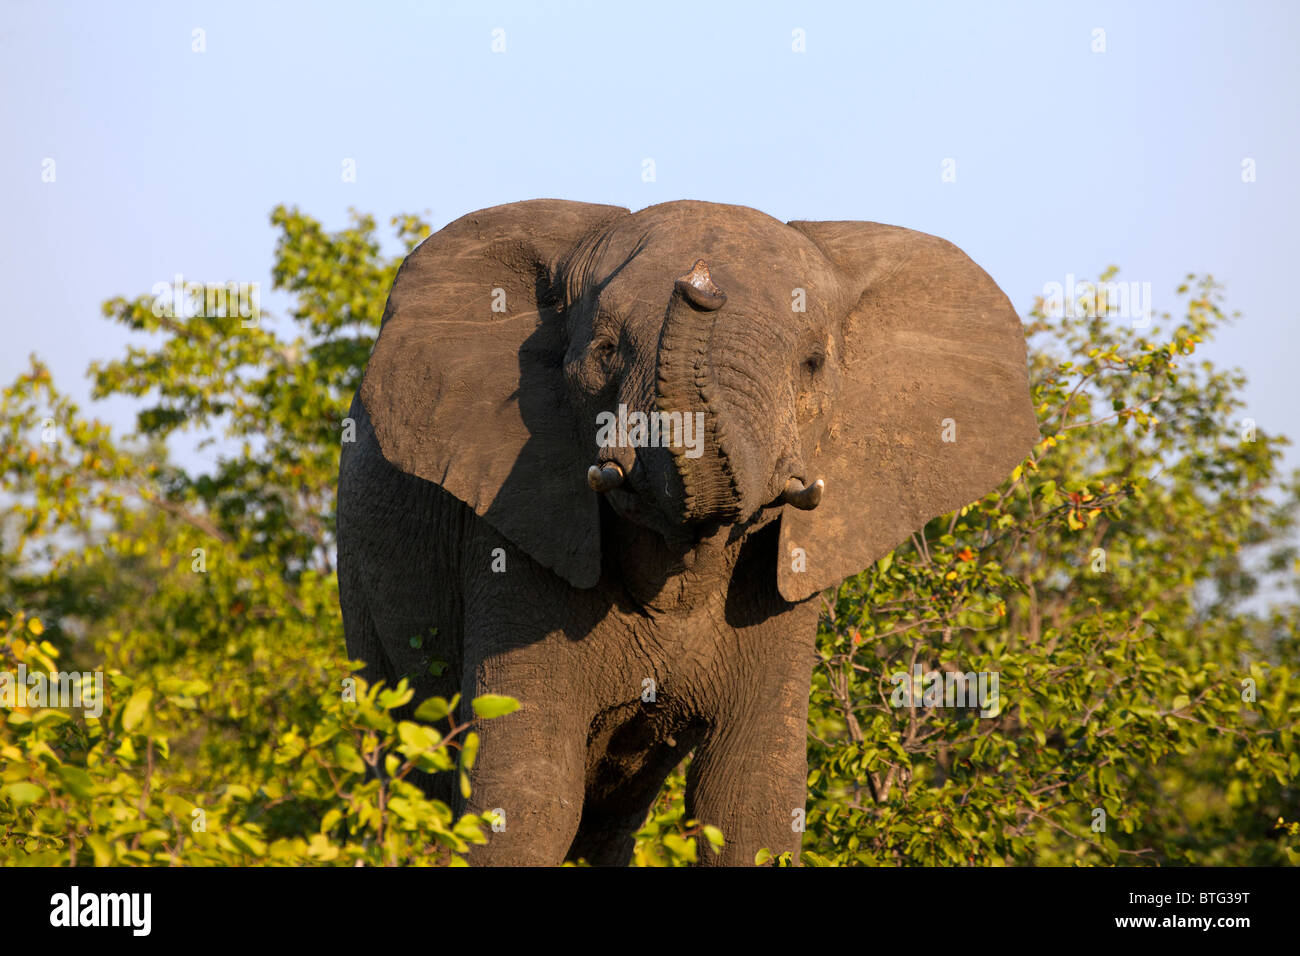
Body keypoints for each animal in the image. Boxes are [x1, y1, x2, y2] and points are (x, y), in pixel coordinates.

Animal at [337, 199, 1039, 866]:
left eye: (813, 365)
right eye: (605, 353)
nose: (699, 283)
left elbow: (749, 802)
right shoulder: (515, 526)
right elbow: (527, 800)